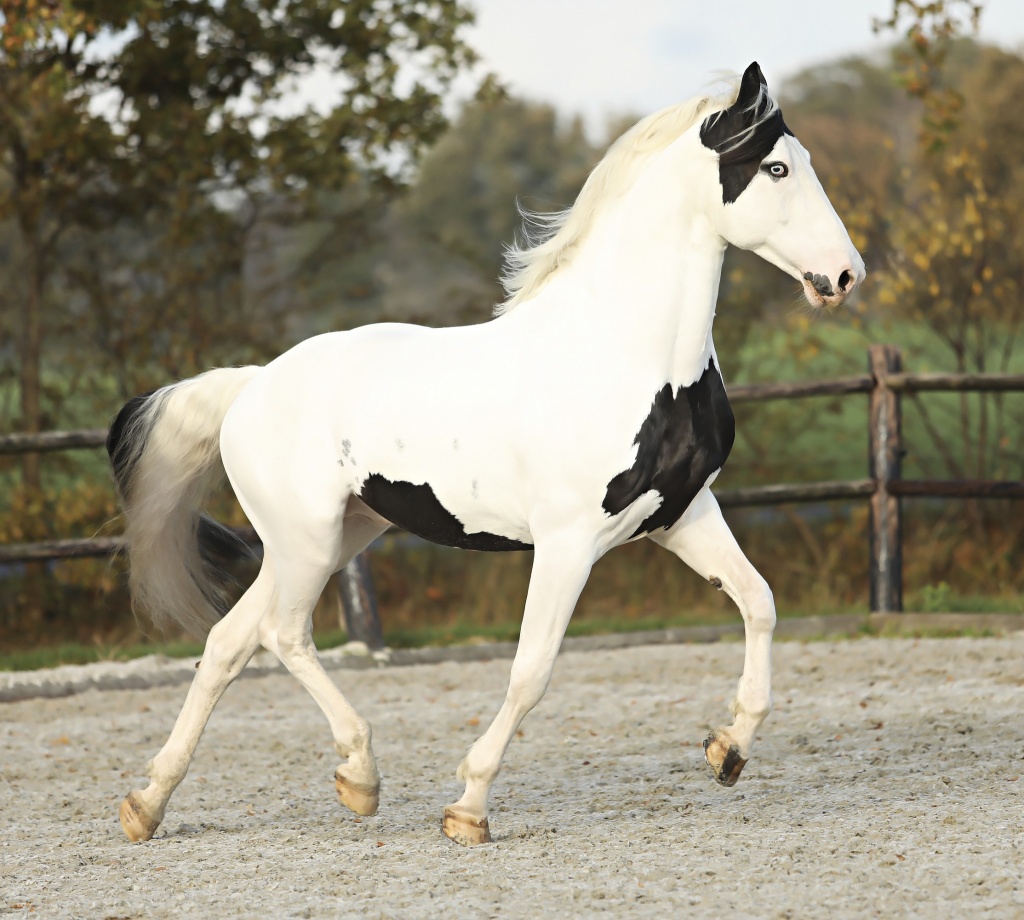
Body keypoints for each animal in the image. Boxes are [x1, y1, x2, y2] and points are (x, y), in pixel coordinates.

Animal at [108, 62, 864, 847]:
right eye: (775, 168)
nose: (845, 275)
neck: (627, 354)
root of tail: (251, 385)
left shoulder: (683, 516)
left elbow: (760, 603)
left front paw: (728, 749)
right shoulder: (567, 542)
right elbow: (531, 670)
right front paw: (468, 807)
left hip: (336, 536)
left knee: (230, 640)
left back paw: (149, 803)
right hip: (306, 542)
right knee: (283, 635)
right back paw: (359, 776)